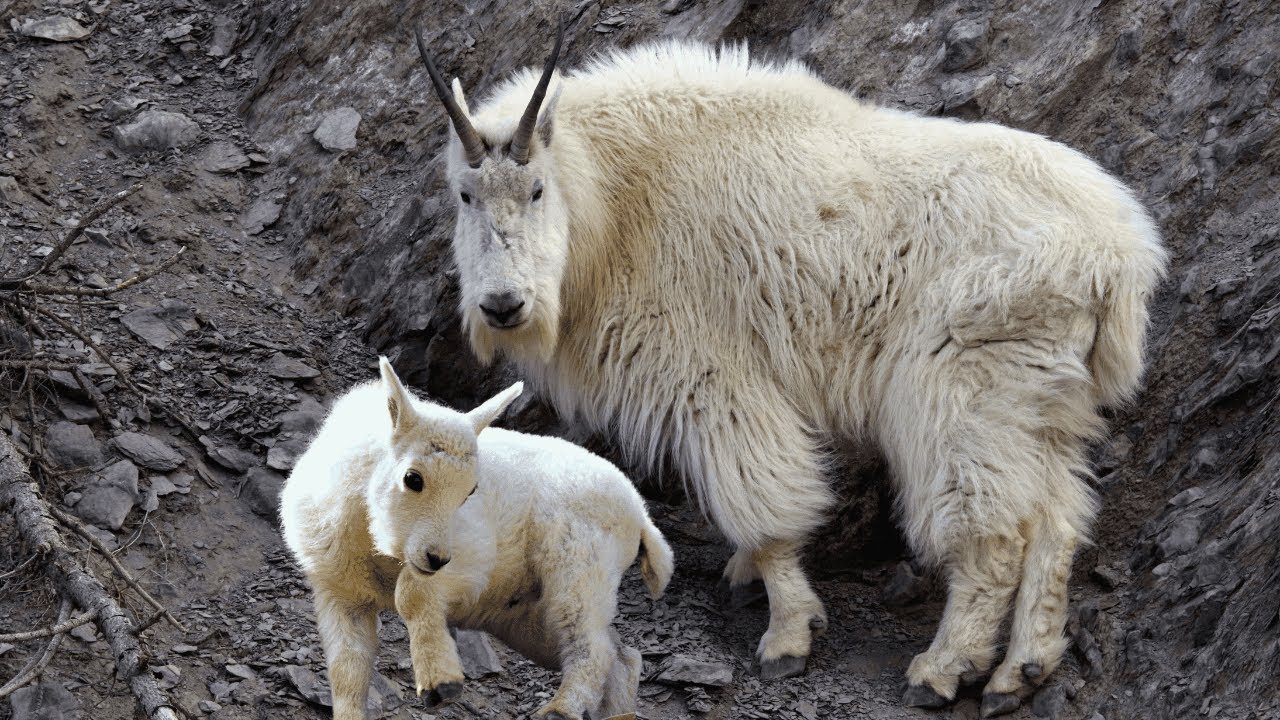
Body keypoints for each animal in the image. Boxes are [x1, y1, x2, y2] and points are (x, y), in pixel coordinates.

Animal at [279, 357, 674, 720]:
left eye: (470, 490)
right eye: (413, 478)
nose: (437, 558)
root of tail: (640, 514)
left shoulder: (472, 557)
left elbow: (412, 592)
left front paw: (441, 684)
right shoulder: (340, 591)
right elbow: (347, 666)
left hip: (581, 564)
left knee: (592, 646)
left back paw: (561, 709)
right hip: (527, 617)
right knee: (621, 654)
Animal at [415, 26, 1166, 717]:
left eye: (537, 189)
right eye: (464, 195)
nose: (503, 305)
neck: (617, 195)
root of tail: (1120, 252)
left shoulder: (713, 372)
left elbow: (766, 509)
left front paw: (787, 636)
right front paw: (749, 582)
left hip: (963, 386)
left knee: (994, 530)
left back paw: (943, 669)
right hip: (1042, 396)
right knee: (1057, 519)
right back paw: (1022, 671)